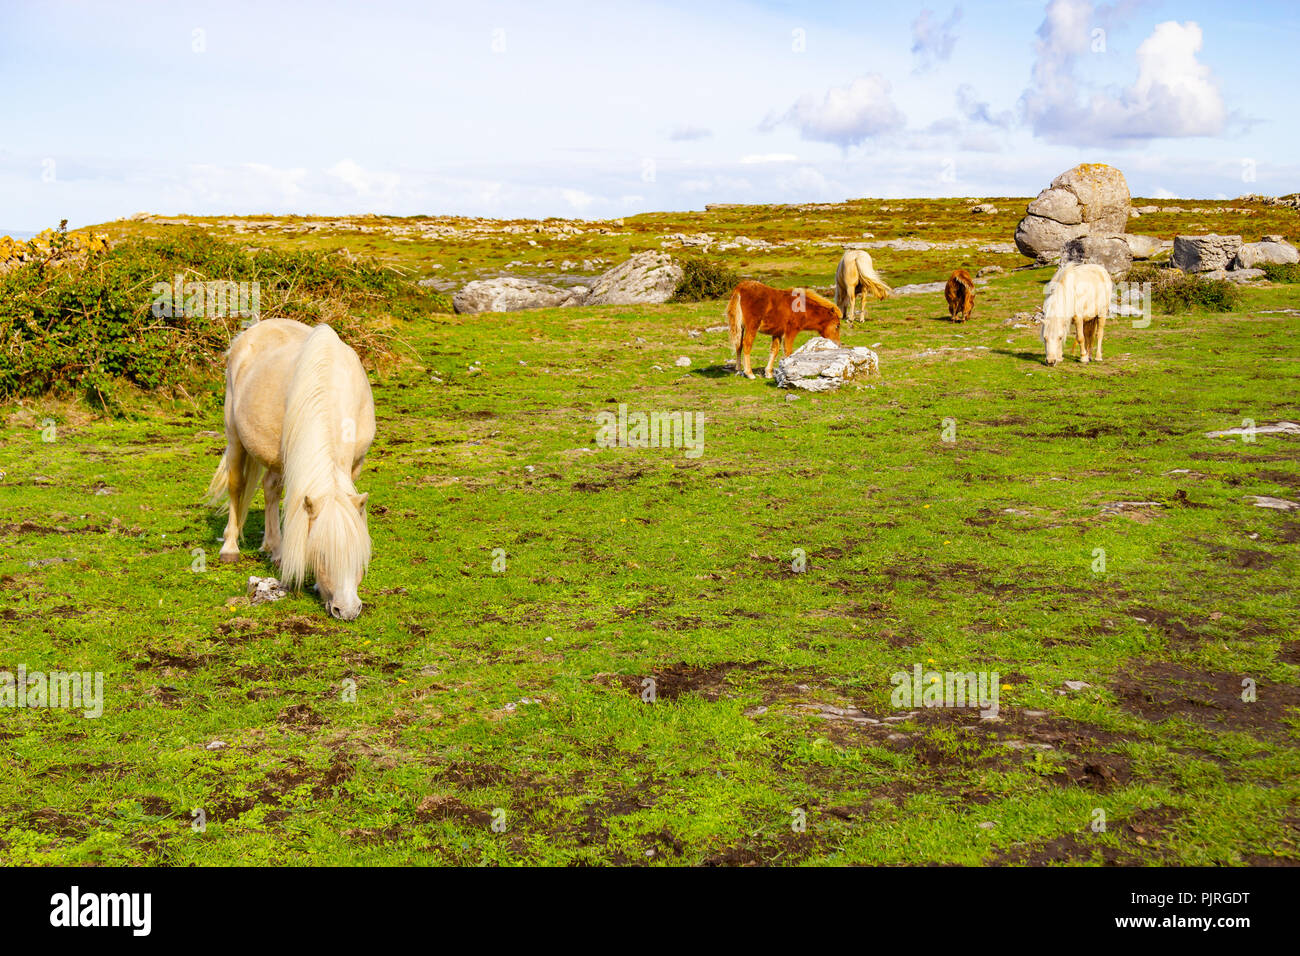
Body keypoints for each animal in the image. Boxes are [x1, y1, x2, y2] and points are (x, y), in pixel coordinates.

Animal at [205, 319, 376, 619]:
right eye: (320, 555)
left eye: (358, 554)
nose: (346, 610)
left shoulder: (355, 463)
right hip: (235, 436)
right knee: (237, 486)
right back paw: (231, 548)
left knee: (270, 489)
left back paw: (274, 547)